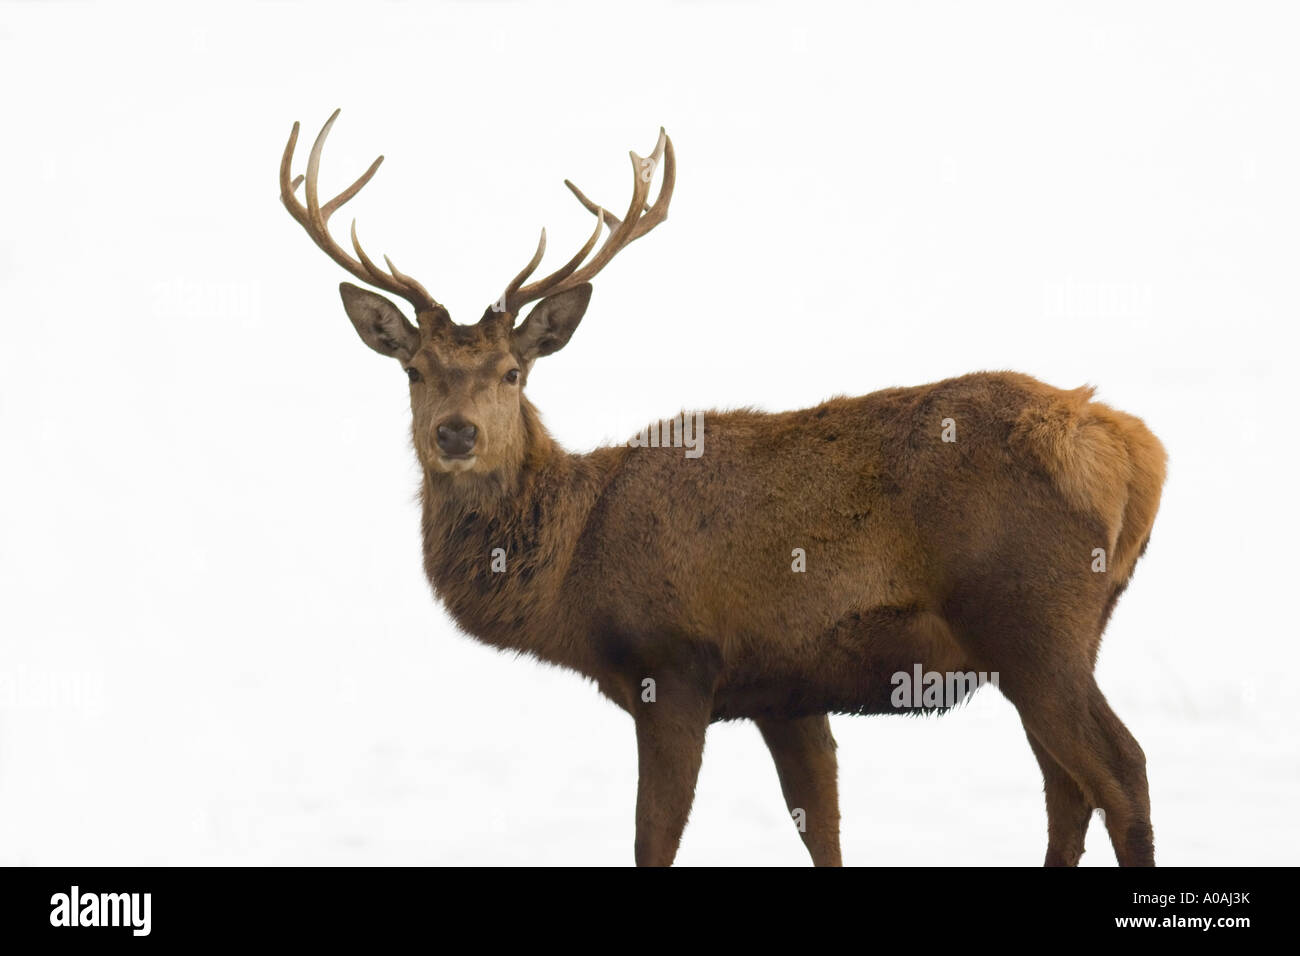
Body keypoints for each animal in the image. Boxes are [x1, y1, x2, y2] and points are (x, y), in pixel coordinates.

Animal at [279, 110, 1167, 867]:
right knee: (1066, 790)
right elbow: (823, 831)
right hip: (1055, 634)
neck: (572, 572)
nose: (456, 433)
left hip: (1032, 619)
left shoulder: (674, 663)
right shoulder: (787, 691)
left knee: (1120, 772)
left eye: (510, 372)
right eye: (415, 370)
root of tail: (1136, 451)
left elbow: (655, 840)